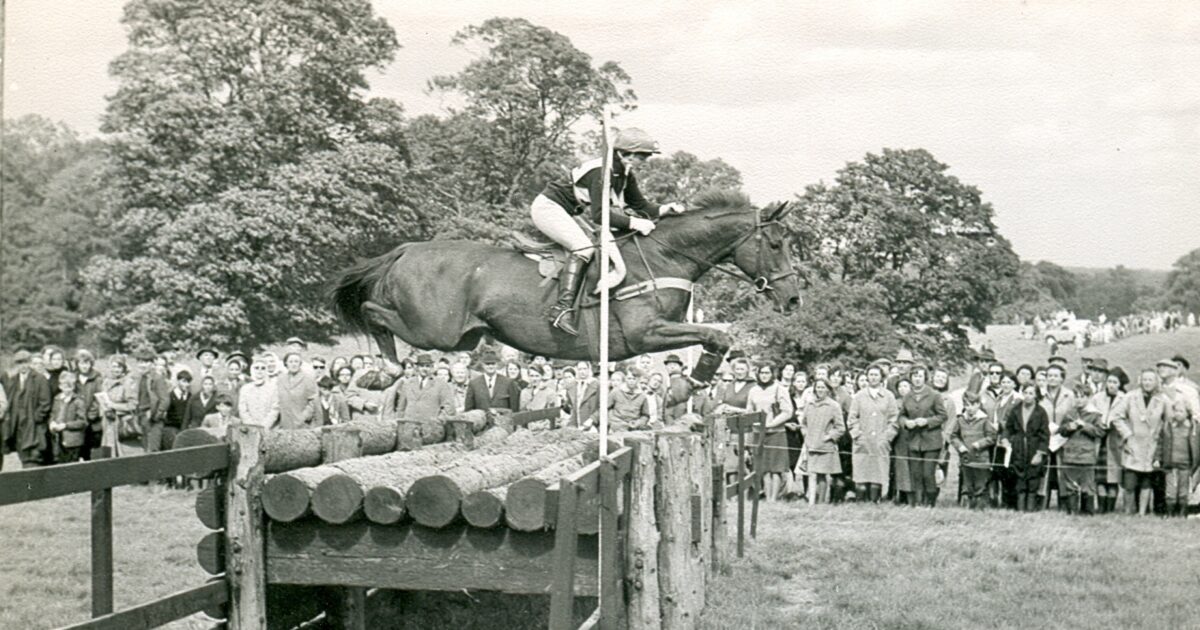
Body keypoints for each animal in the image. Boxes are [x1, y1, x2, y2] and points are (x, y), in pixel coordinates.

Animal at [329, 190, 801, 382]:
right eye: (777, 244)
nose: (794, 299)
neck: (664, 256)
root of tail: (407, 249)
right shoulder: (647, 334)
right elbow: (716, 336)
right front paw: (698, 381)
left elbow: (716, 337)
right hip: (434, 330)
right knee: (373, 311)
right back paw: (387, 369)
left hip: (463, 338)